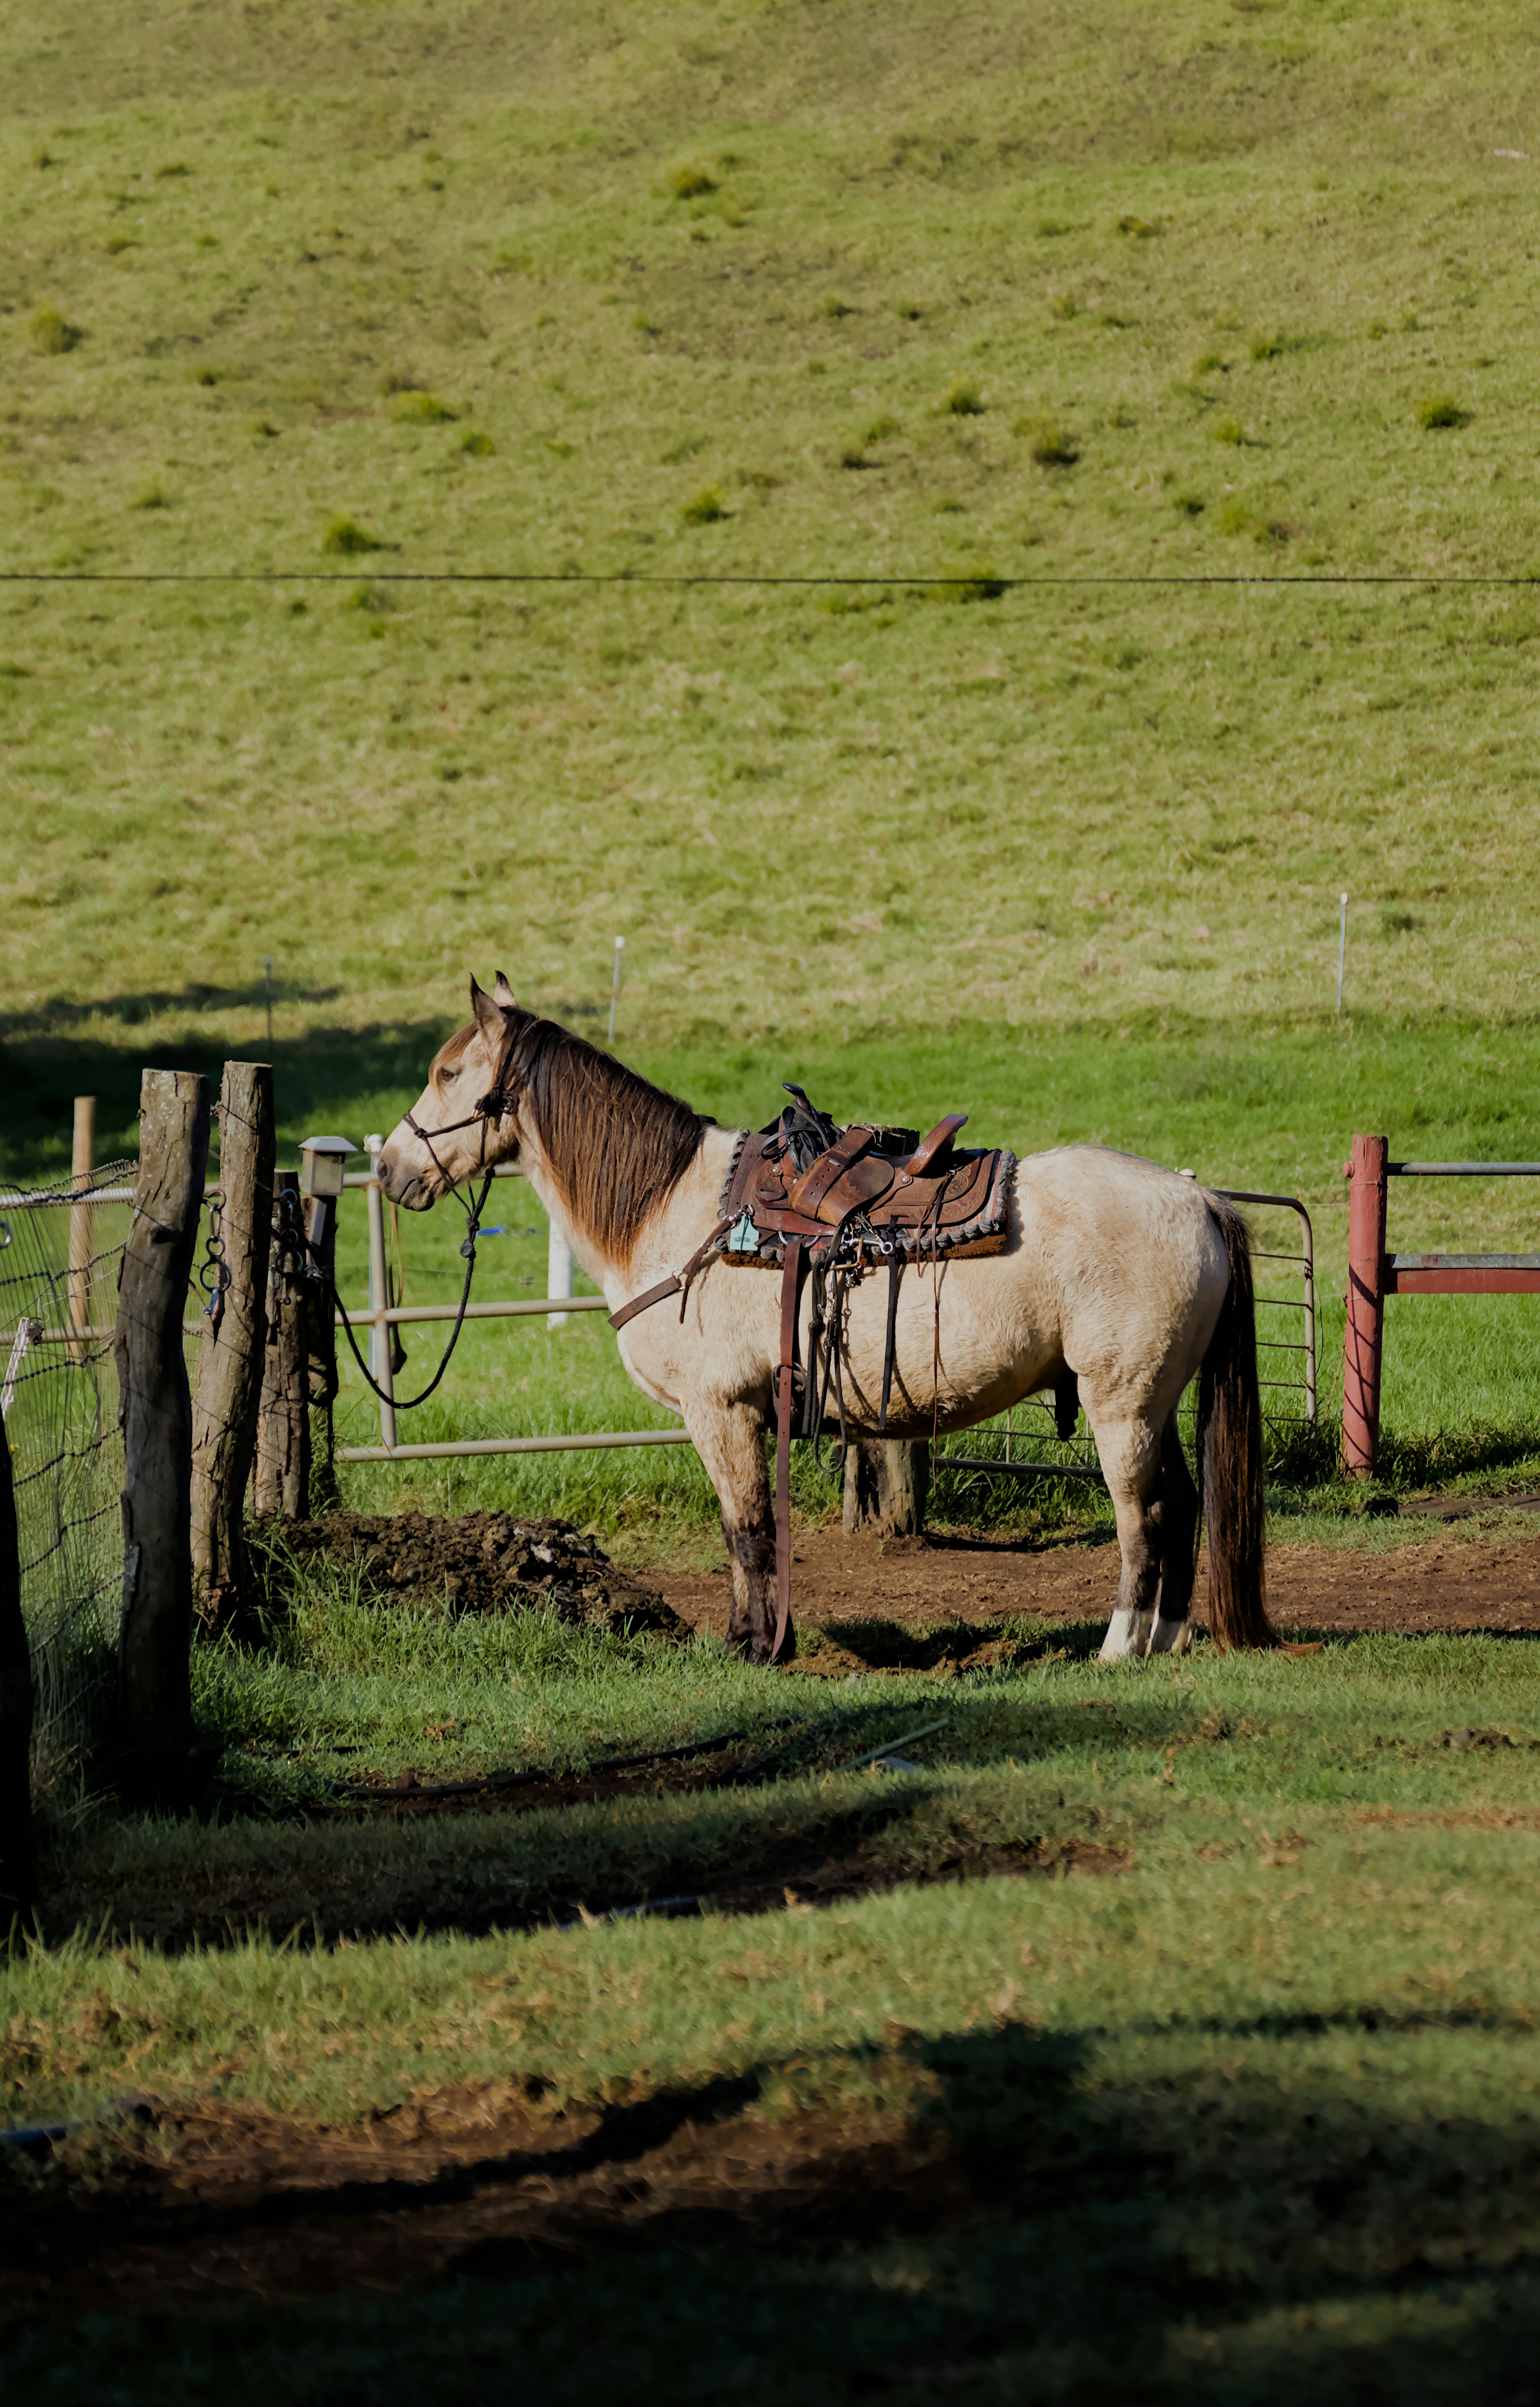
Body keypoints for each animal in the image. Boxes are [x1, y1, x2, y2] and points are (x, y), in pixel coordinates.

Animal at [376, 976, 1274, 1665]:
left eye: (449, 1070)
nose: (387, 1168)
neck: (668, 1209)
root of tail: (1199, 1198)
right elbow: (747, 1530)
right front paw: (755, 1637)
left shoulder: (720, 1410)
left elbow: (745, 1528)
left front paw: (754, 1646)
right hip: (1154, 1401)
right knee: (1182, 1505)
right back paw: (1168, 1638)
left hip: (1120, 1403)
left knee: (1142, 1516)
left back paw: (1120, 1645)